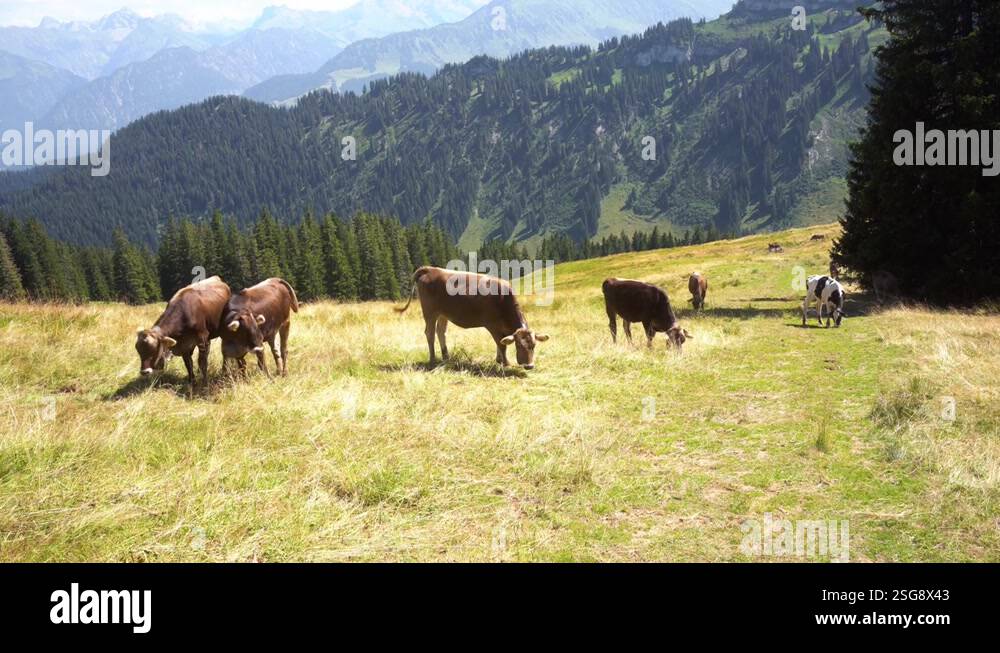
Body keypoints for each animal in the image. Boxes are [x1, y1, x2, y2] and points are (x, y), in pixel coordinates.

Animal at [395, 266, 549, 369]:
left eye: (534, 345)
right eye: (518, 345)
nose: (529, 366)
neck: (503, 300)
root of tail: (430, 269)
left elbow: (500, 344)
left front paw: (499, 360)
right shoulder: (492, 325)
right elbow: (501, 344)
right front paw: (506, 363)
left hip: (443, 313)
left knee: (441, 332)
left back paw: (446, 357)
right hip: (430, 311)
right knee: (430, 333)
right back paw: (433, 359)